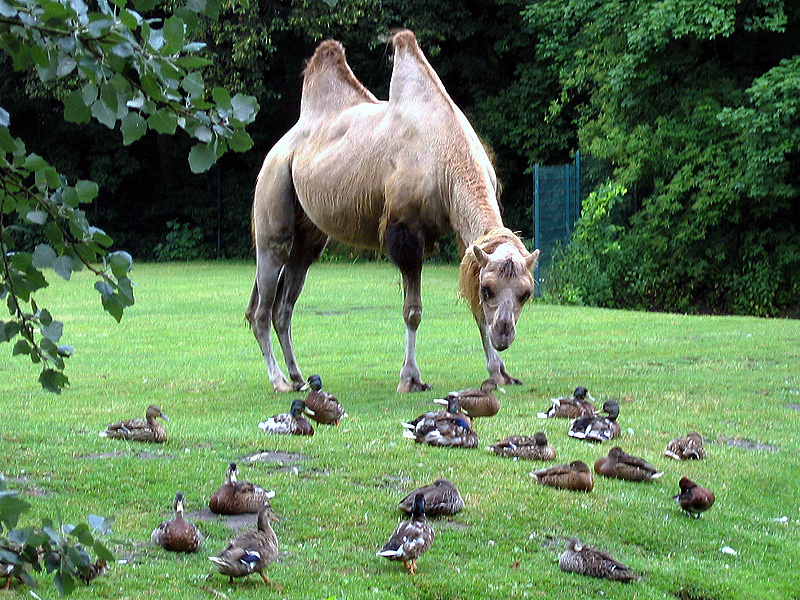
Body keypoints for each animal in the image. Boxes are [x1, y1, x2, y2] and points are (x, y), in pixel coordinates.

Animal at [246, 29, 540, 393]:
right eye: (489, 289)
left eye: (526, 293)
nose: (504, 335)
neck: (446, 155)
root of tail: (279, 147)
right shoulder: (405, 229)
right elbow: (412, 311)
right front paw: (410, 378)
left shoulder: (464, 236)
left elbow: (473, 306)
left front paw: (499, 372)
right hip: (272, 195)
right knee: (263, 300)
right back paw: (279, 381)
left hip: (309, 236)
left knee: (284, 305)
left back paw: (299, 377)